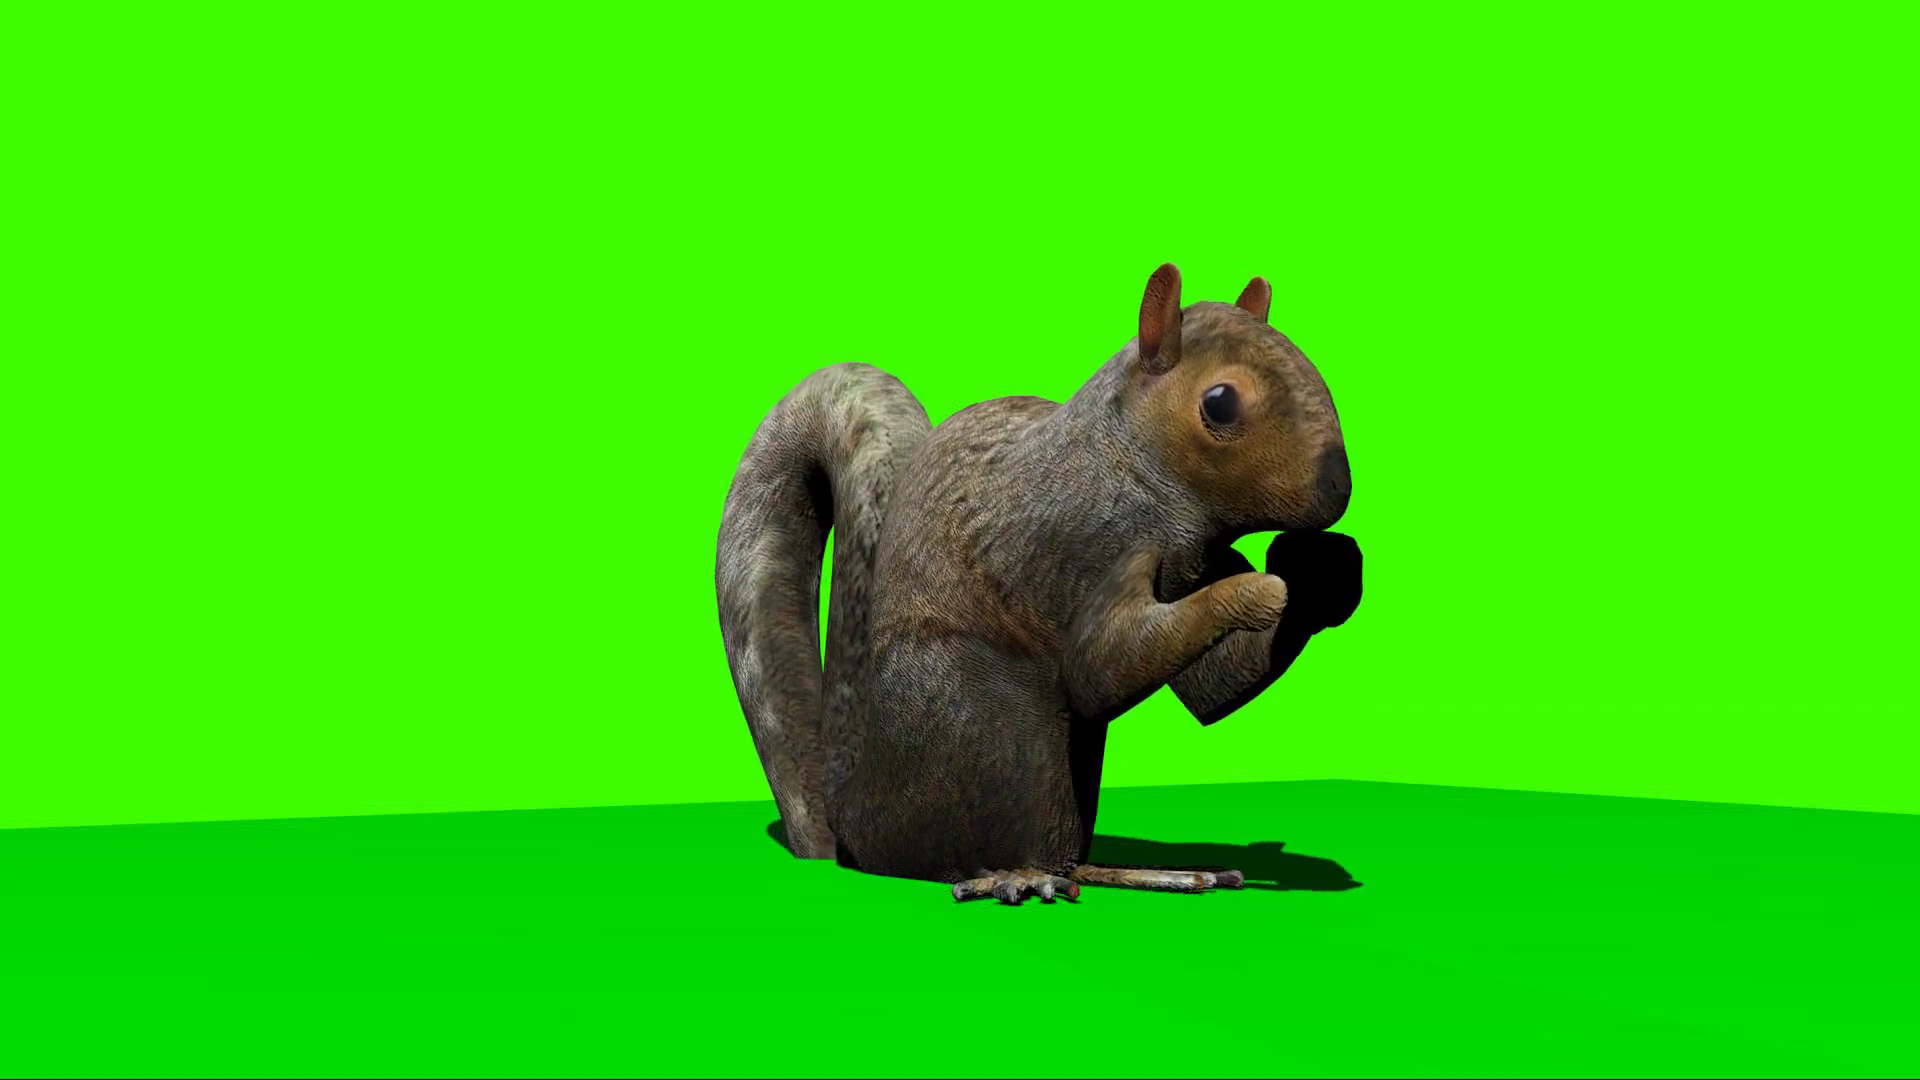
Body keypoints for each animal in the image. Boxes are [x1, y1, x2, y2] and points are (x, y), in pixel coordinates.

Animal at [716, 264, 1361, 904]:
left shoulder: (1209, 559)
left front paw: (1326, 567)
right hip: (981, 722)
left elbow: (1218, 688)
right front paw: (1262, 591)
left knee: (1068, 857)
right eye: (1220, 403)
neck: (1133, 469)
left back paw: (1151, 872)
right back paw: (1015, 876)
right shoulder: (1074, 547)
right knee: (958, 855)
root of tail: (854, 825)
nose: (1337, 489)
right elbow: (1101, 667)